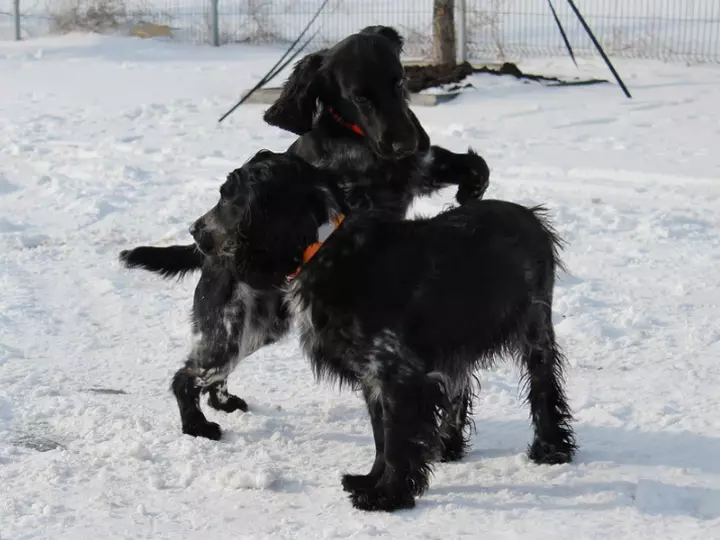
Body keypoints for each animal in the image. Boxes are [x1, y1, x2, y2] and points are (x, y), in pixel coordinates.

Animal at [150, 151, 572, 510]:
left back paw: (551, 449)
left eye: (228, 196)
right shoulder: (375, 375)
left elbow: (397, 440)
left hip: (534, 330)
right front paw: (370, 481)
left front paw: (387, 497)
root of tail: (534, 218)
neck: (326, 248)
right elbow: (382, 438)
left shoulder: (397, 373)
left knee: (544, 388)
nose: (194, 230)